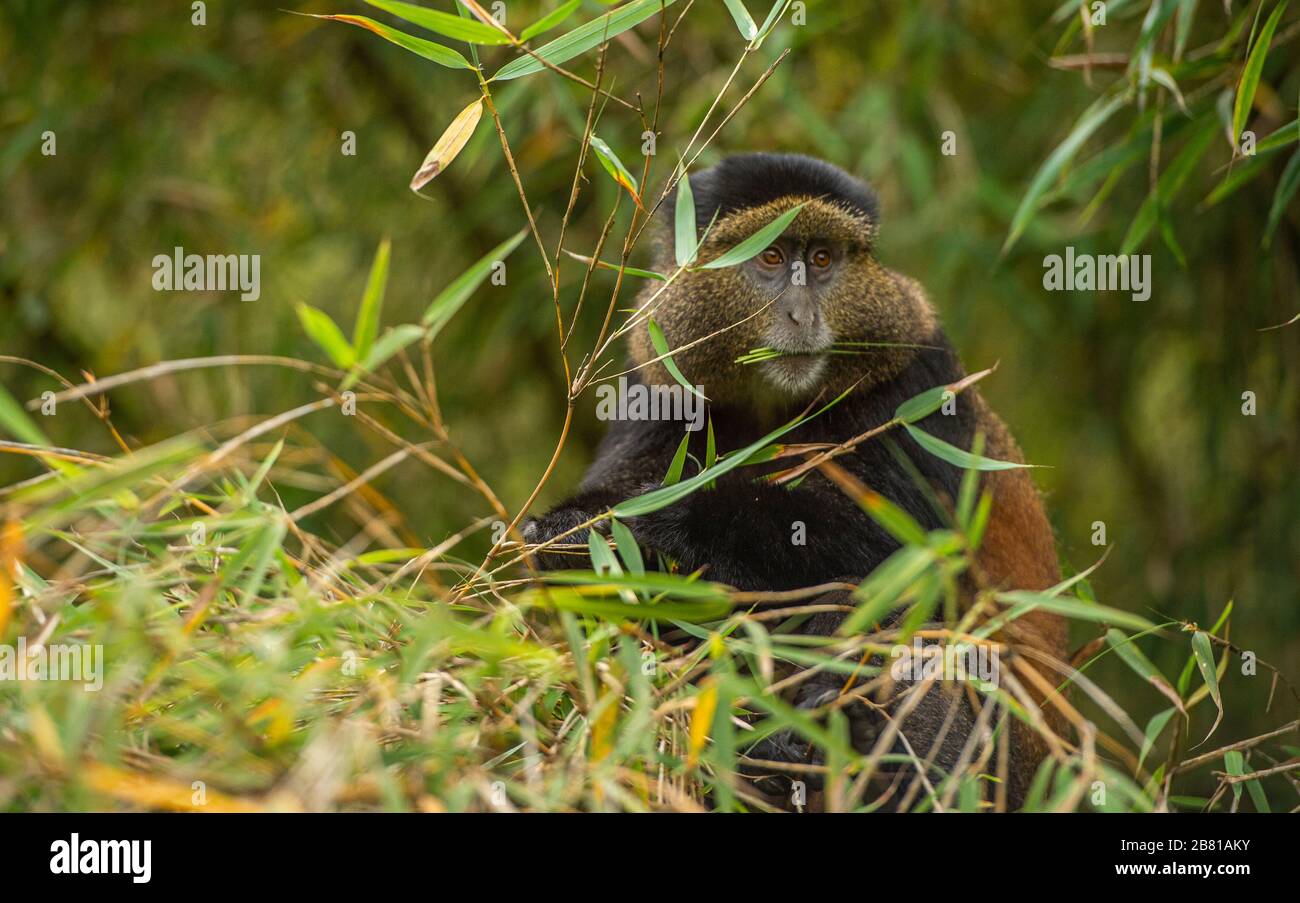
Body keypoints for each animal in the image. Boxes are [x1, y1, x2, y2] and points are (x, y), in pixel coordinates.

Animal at [523, 153, 1068, 810]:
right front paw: (570, 534)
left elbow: (909, 551)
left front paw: (664, 519)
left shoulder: (917, 377)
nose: (802, 314)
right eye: (772, 258)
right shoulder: (654, 377)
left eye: (825, 258)